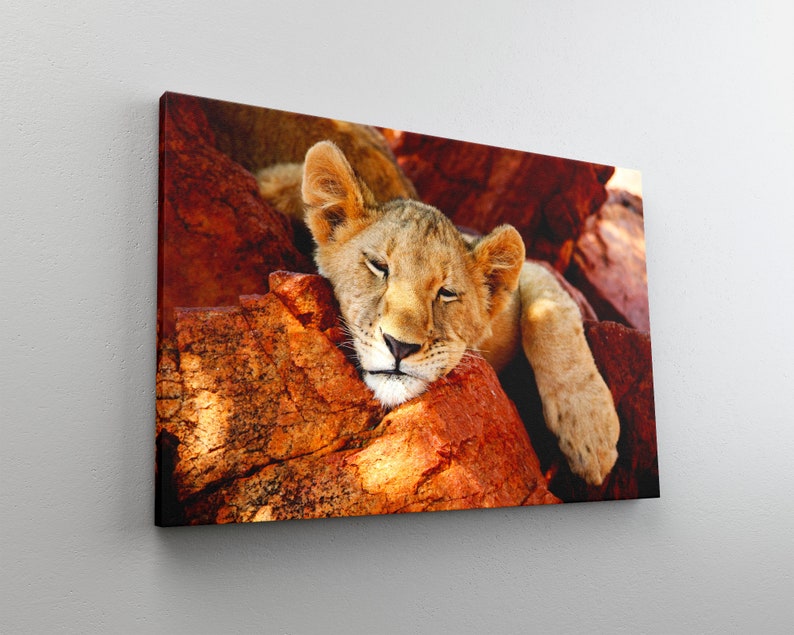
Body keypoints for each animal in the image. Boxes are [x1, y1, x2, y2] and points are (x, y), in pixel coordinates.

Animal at [259, 140, 620, 486]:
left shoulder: (529, 279)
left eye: (446, 293)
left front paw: (591, 434)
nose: (400, 347)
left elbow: (550, 310)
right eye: (378, 266)